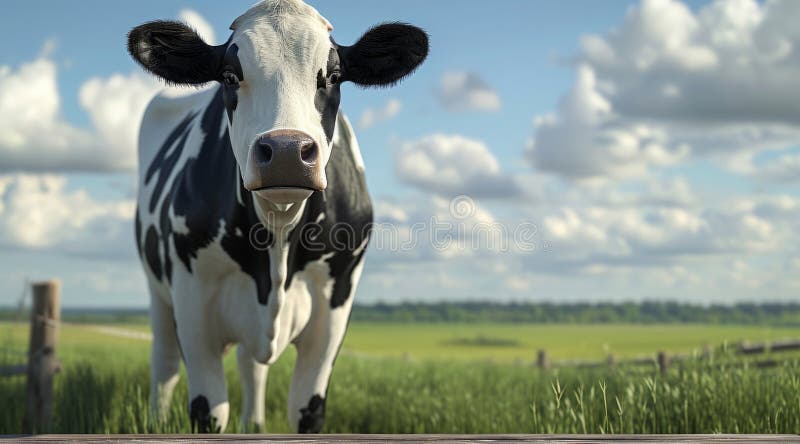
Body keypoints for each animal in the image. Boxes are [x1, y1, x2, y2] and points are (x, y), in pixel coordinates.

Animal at [127, 0, 427, 433]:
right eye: (230, 76)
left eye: (333, 77)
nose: (287, 152)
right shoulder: (192, 300)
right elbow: (208, 410)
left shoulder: (333, 309)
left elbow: (307, 407)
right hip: (159, 292)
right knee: (164, 363)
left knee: (252, 366)